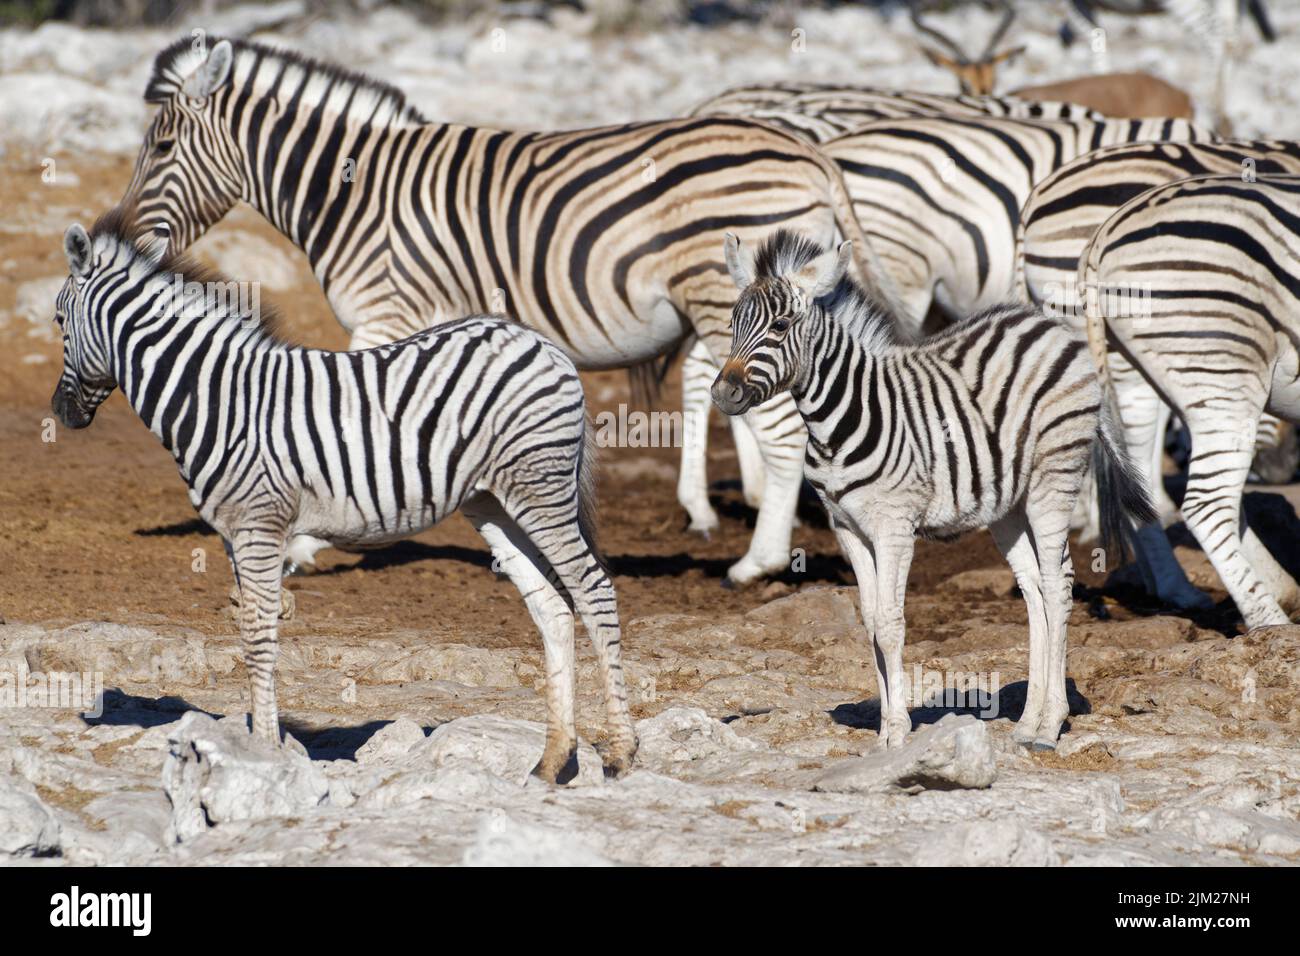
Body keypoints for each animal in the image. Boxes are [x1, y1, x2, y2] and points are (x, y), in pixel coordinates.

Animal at [49, 209, 637, 784]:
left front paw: (265, 752)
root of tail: (542, 344)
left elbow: (258, 636)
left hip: (540, 487)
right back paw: (552, 760)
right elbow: (254, 629)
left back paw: (621, 754)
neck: (219, 398)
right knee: (552, 608)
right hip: (495, 502)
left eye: (58, 320)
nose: (60, 413)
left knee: (593, 590)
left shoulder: (259, 526)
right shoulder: (237, 536)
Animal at [120, 37, 898, 587]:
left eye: (161, 145)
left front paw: (306, 543)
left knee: (784, 433)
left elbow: (348, 413)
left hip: (722, 294)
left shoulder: (385, 310)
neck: (352, 192)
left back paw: (757, 565)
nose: (121, 236)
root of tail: (808, 152)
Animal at [712, 229, 1156, 749]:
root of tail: (1049, 325)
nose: (723, 394)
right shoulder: (847, 528)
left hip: (1054, 478)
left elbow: (890, 624)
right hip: (1008, 505)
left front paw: (898, 732)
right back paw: (1027, 721)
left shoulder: (894, 526)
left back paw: (1049, 726)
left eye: (780, 326)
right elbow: (869, 623)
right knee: (1033, 591)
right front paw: (884, 731)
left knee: (1057, 583)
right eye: (732, 323)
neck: (836, 421)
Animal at [1018, 139, 1300, 611]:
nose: (1284, 467)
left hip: (1136, 371)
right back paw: (1266, 616)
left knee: (1144, 477)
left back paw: (1181, 588)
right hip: (1212, 358)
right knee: (1205, 501)